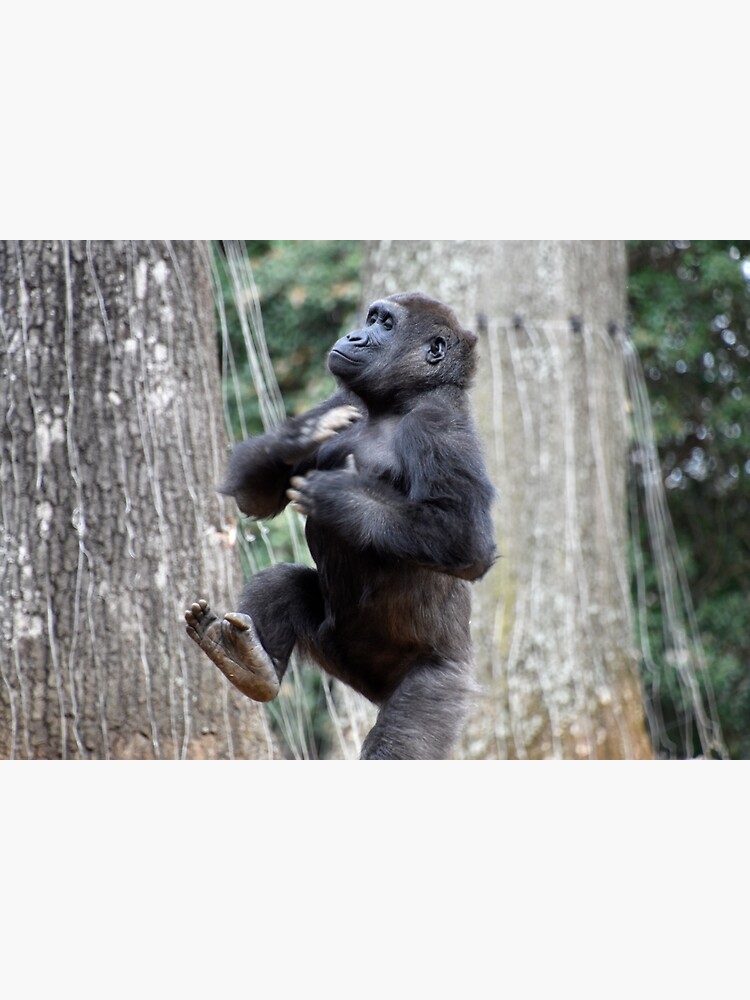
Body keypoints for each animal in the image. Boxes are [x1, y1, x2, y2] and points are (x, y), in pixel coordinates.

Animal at [185, 292, 496, 759]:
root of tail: (374, 690)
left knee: (403, 739)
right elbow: (255, 497)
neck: (398, 402)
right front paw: (298, 436)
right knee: (284, 582)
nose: (354, 336)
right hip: (335, 653)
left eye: (386, 325)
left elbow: (467, 542)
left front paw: (340, 496)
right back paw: (248, 665)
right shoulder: (342, 402)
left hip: (441, 681)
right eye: (371, 318)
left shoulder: (440, 427)